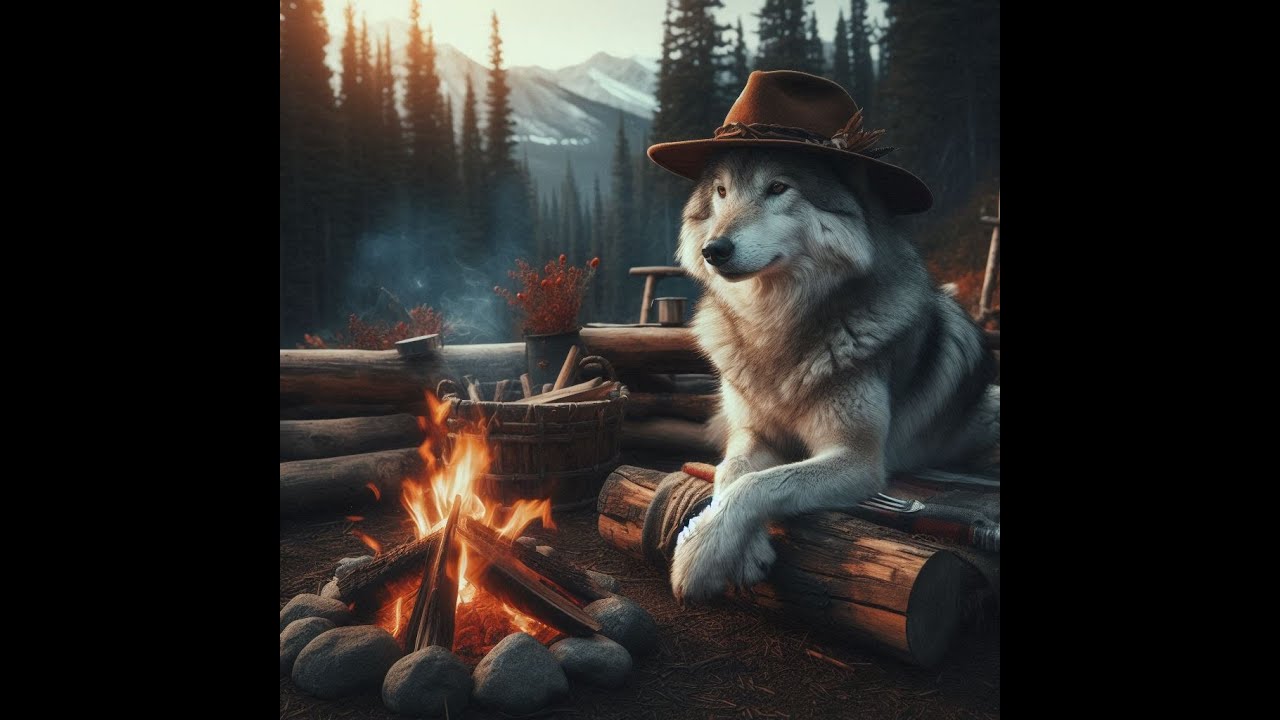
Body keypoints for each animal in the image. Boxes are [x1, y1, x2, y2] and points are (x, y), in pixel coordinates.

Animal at [670, 147, 1000, 602]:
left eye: (778, 187)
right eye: (721, 191)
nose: (713, 249)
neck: (775, 328)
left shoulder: (858, 460)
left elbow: (760, 483)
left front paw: (698, 555)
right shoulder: (753, 432)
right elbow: (730, 472)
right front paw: (741, 550)